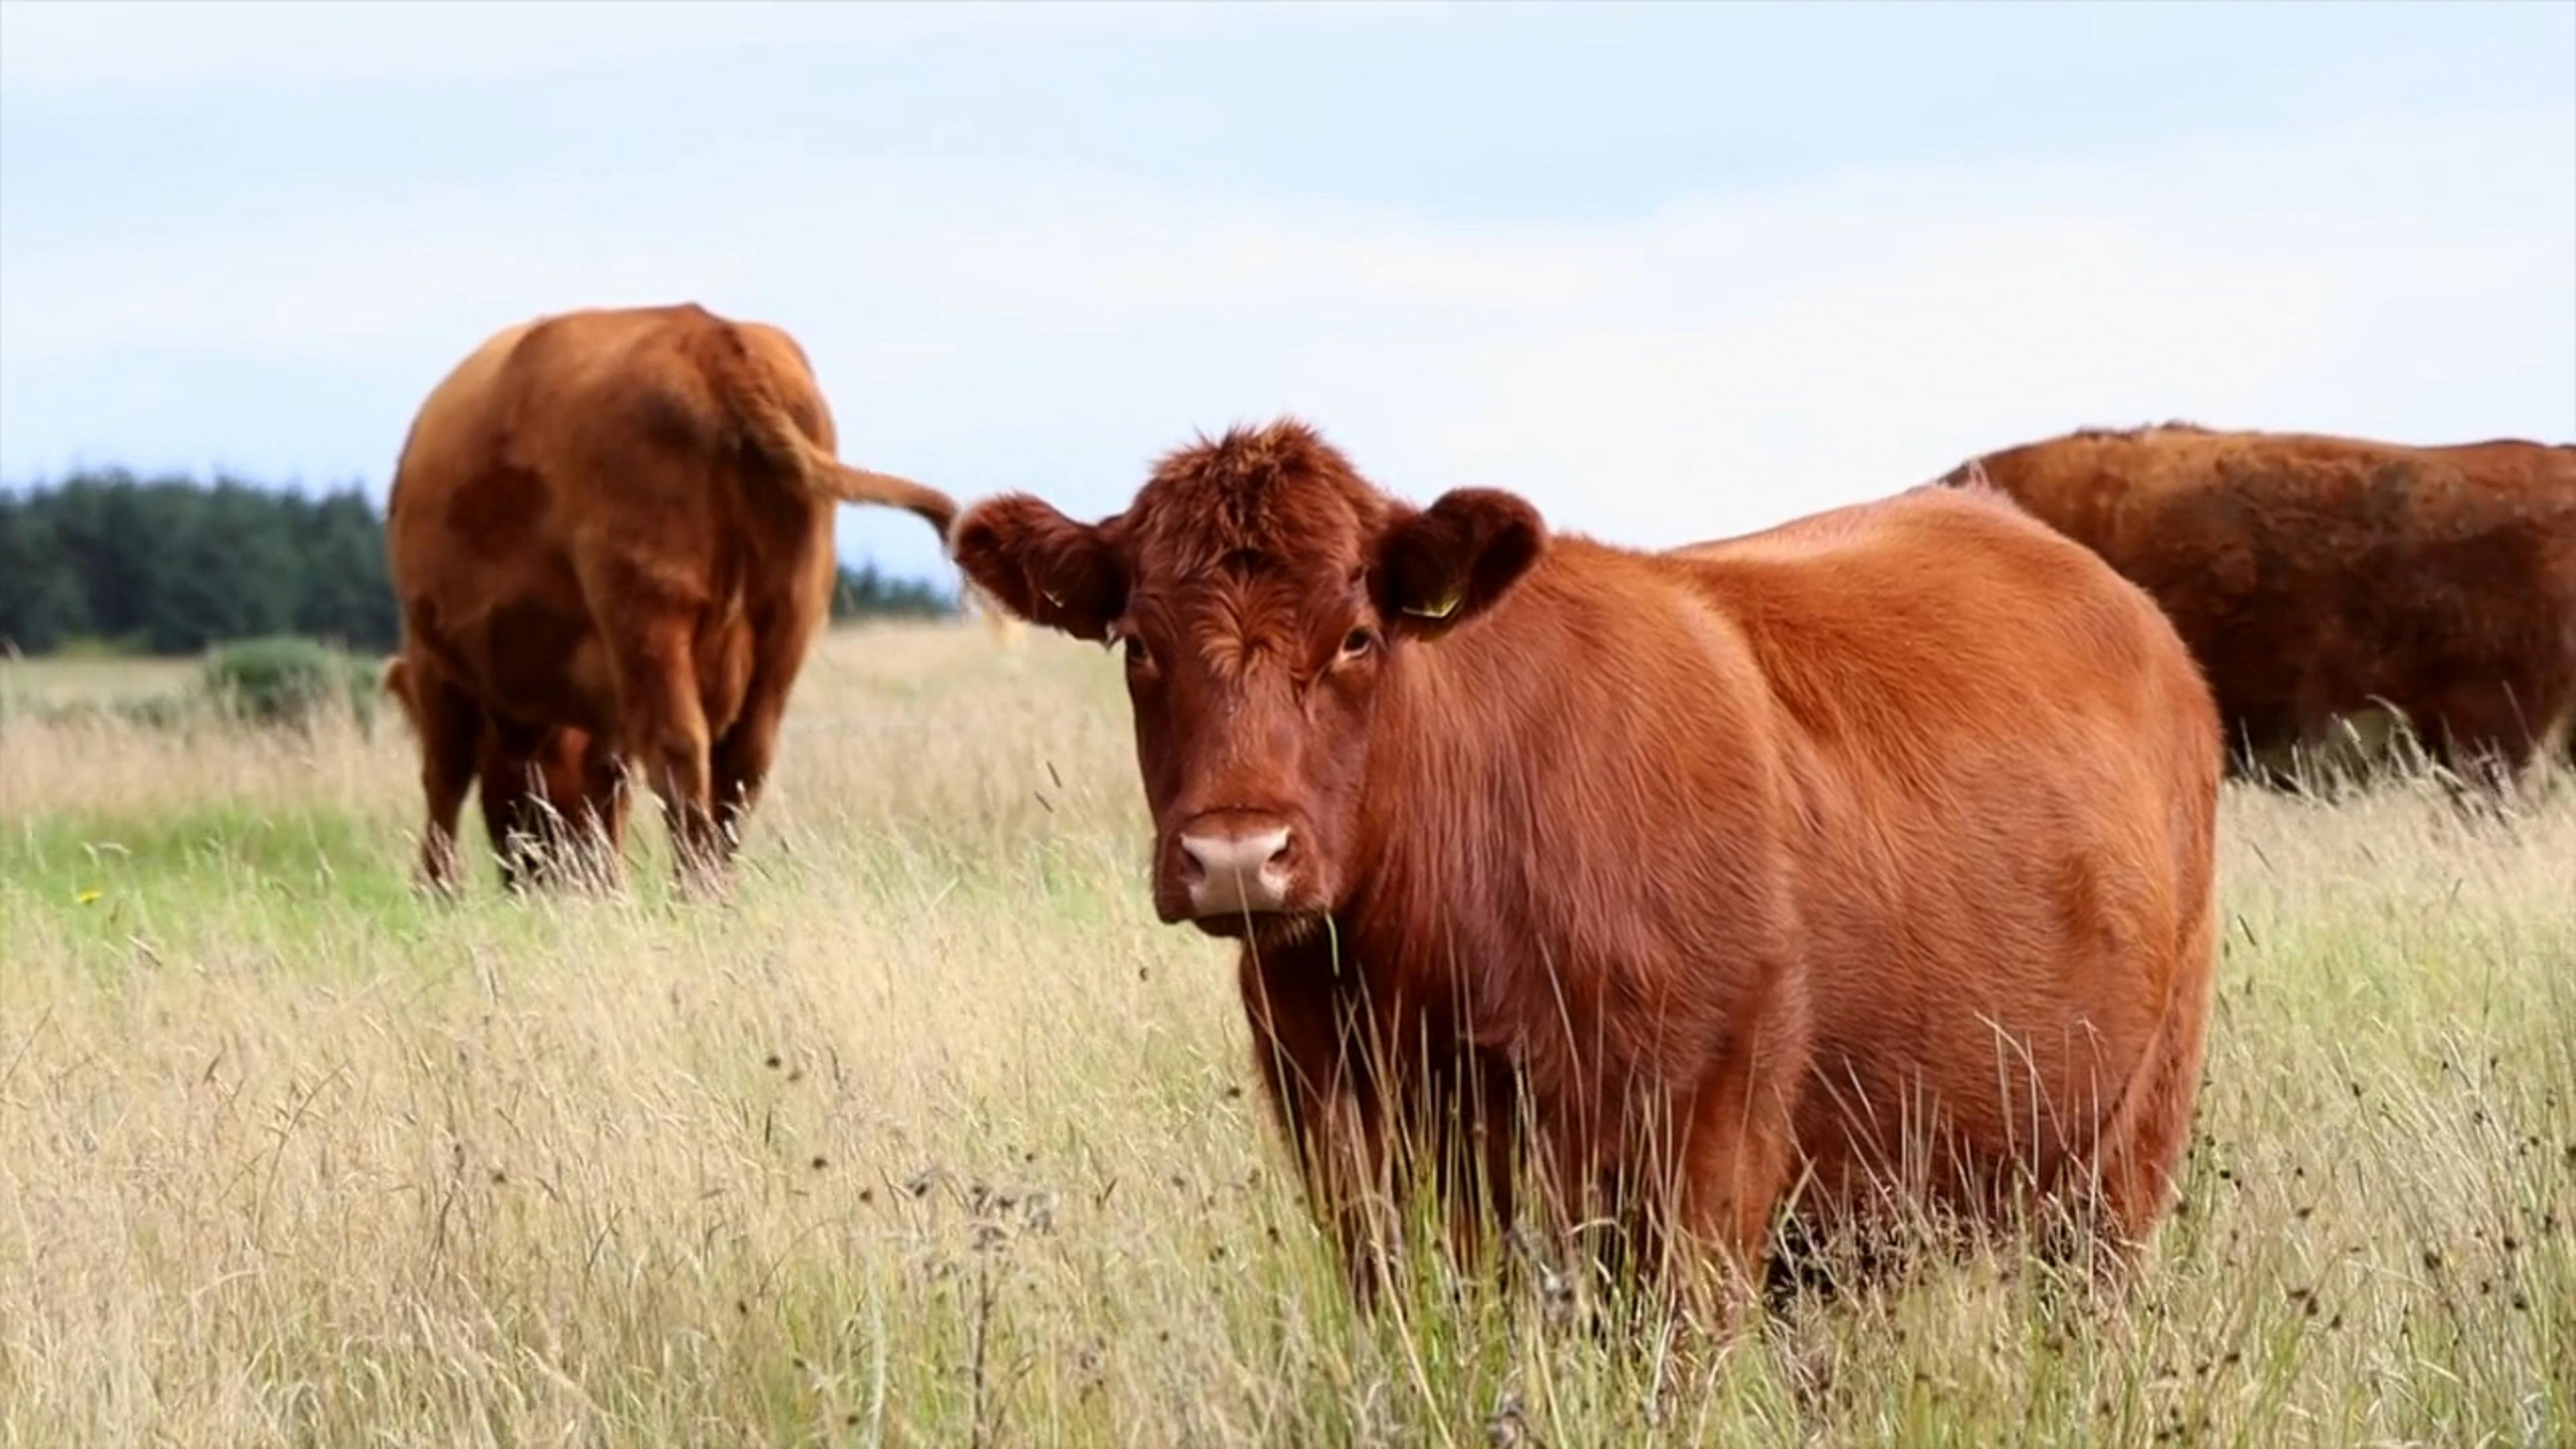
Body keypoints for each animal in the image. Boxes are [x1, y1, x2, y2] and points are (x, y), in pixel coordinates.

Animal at [385, 303, 959, 893]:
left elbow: (445, 777)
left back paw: (693, 892)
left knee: (679, 748)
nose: (562, 881)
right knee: (743, 762)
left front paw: (435, 889)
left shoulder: (433, 656)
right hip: (788, 619)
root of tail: (710, 338)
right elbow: (609, 781)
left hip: (649, 615)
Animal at [952, 419, 2222, 1320]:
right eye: (1138, 645)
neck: (1428, 968)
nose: (1234, 857)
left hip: (2125, 1154)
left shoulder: (1703, 1154)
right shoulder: (1341, 1134)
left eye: (1358, 637)